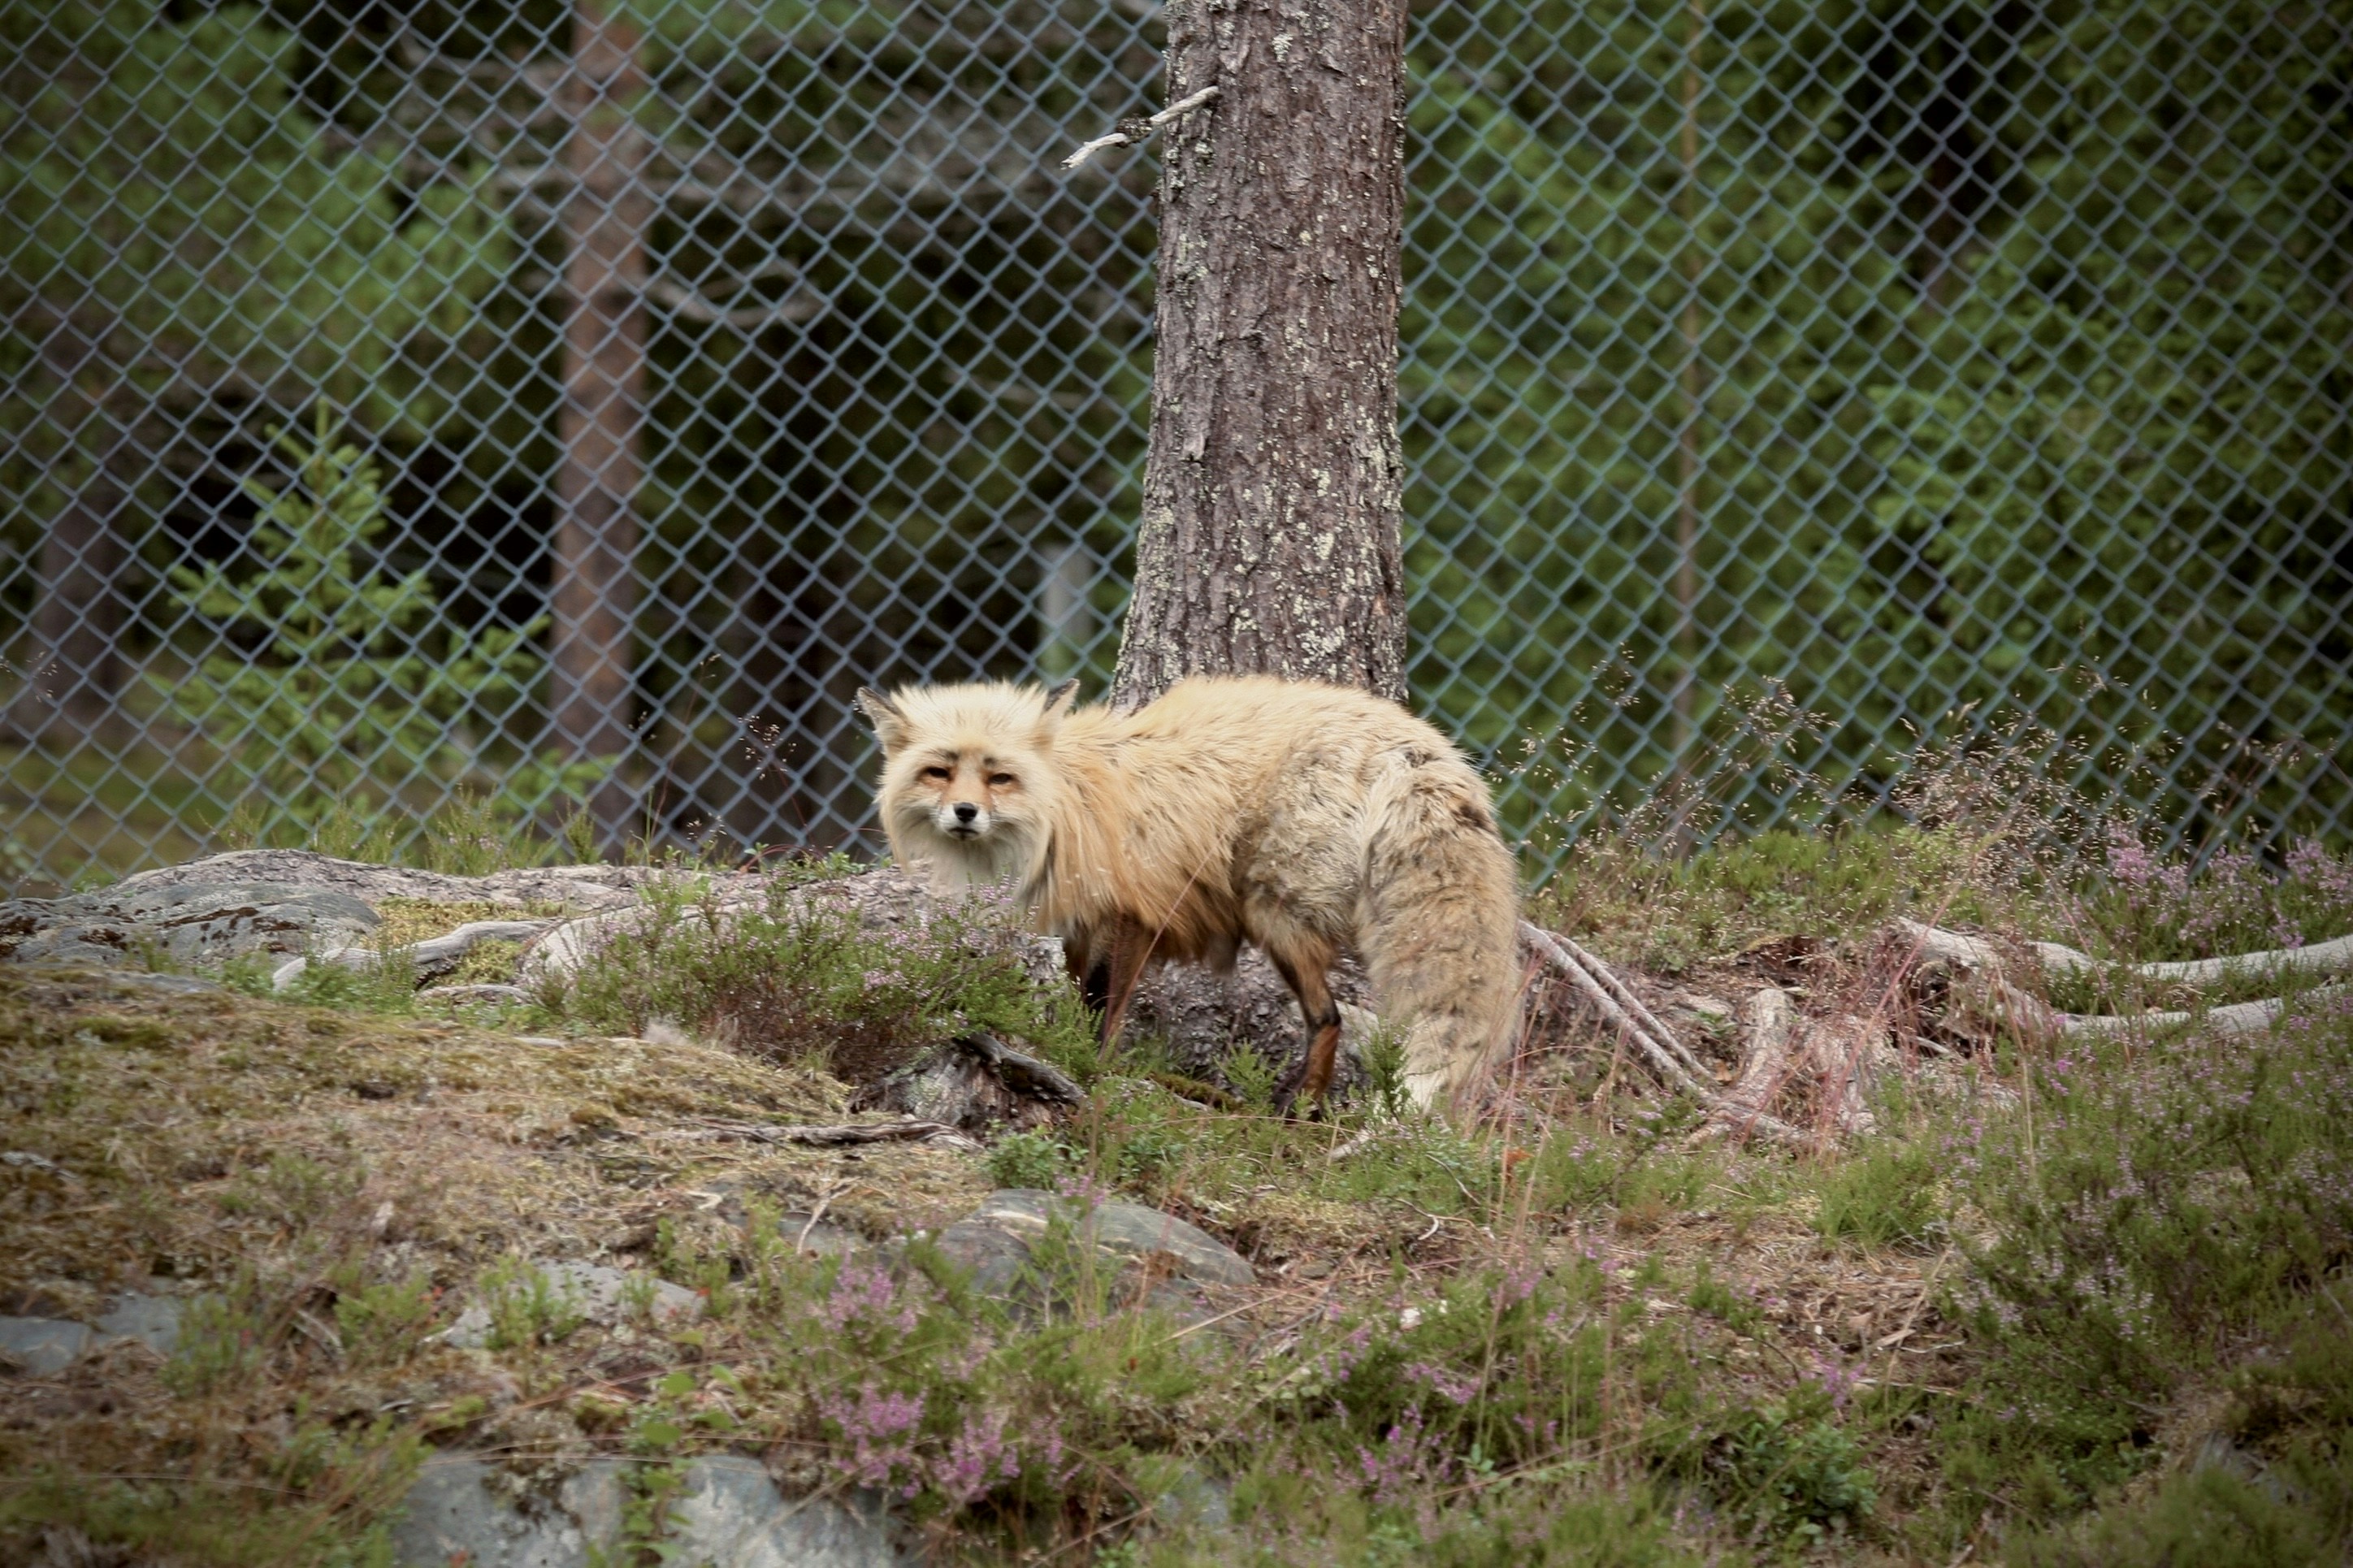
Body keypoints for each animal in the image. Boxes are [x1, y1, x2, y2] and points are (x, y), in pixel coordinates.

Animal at [855, 674, 1525, 1116]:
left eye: (999, 777)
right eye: (939, 772)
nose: (965, 814)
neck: (1065, 810)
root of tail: (1418, 747)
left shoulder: (1132, 916)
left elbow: (1105, 1012)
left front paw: (1091, 1072)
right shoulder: (1079, 930)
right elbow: (1079, 1005)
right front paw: (1067, 1057)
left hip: (1274, 915)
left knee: (1329, 1017)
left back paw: (1297, 1110)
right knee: (1330, 1017)